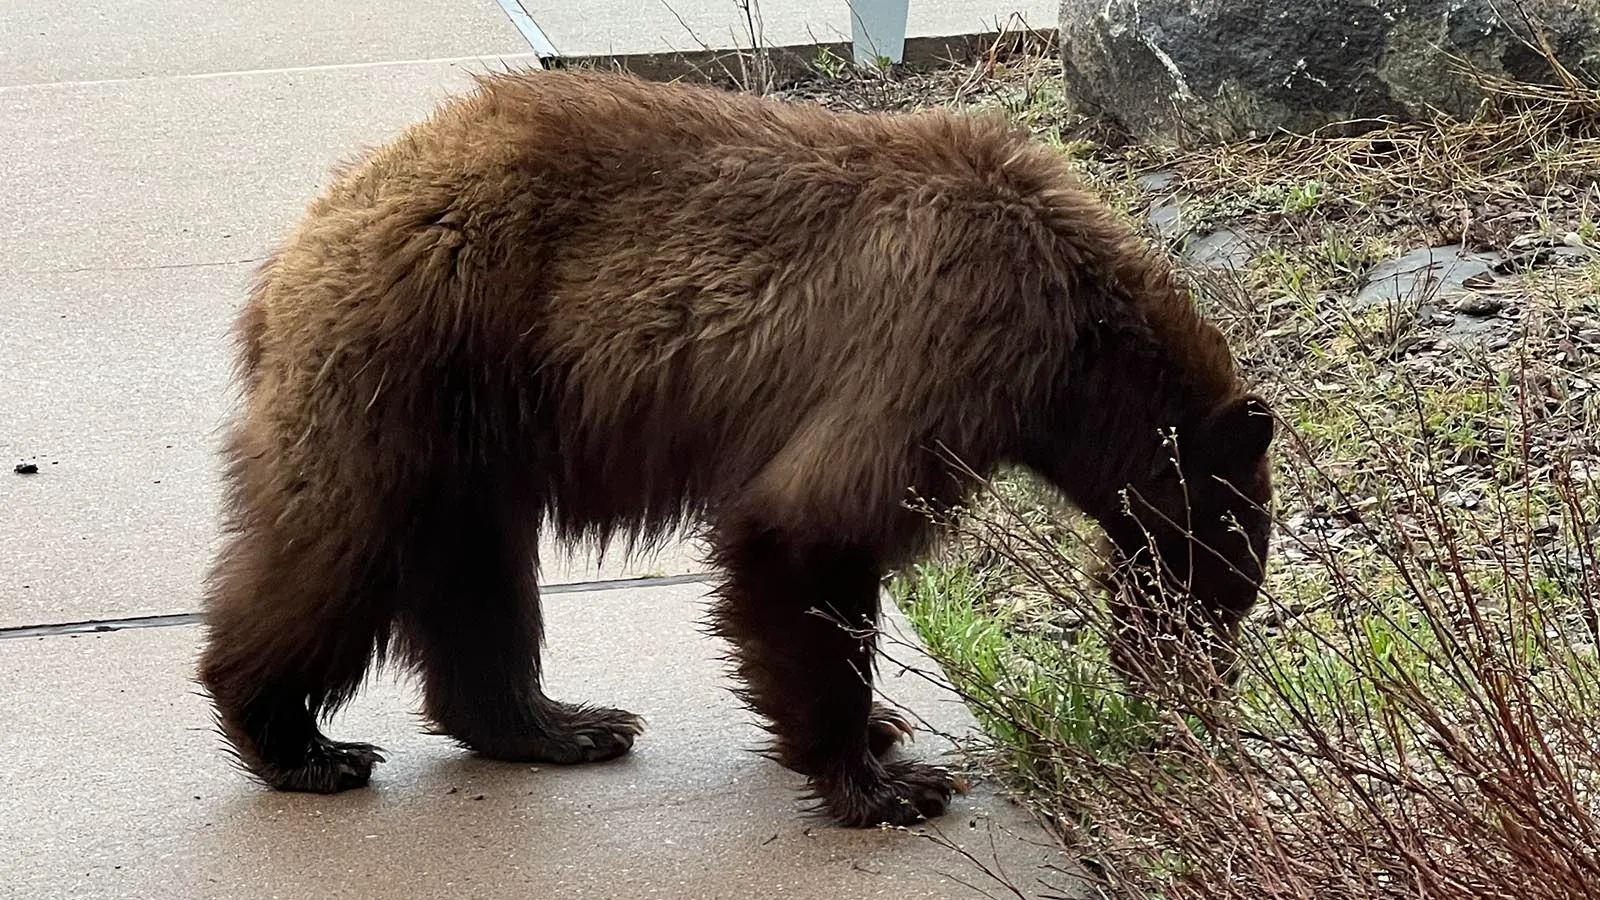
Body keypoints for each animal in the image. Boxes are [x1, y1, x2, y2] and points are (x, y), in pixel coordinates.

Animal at [195, 67, 1275, 829]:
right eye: (1224, 588)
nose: (1201, 695)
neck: (1084, 344)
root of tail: (307, 229)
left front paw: (883, 728)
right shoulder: (955, 331)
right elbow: (808, 525)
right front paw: (885, 781)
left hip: (469, 430)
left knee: (477, 583)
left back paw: (563, 723)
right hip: (403, 367)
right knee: (334, 549)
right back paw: (297, 743)